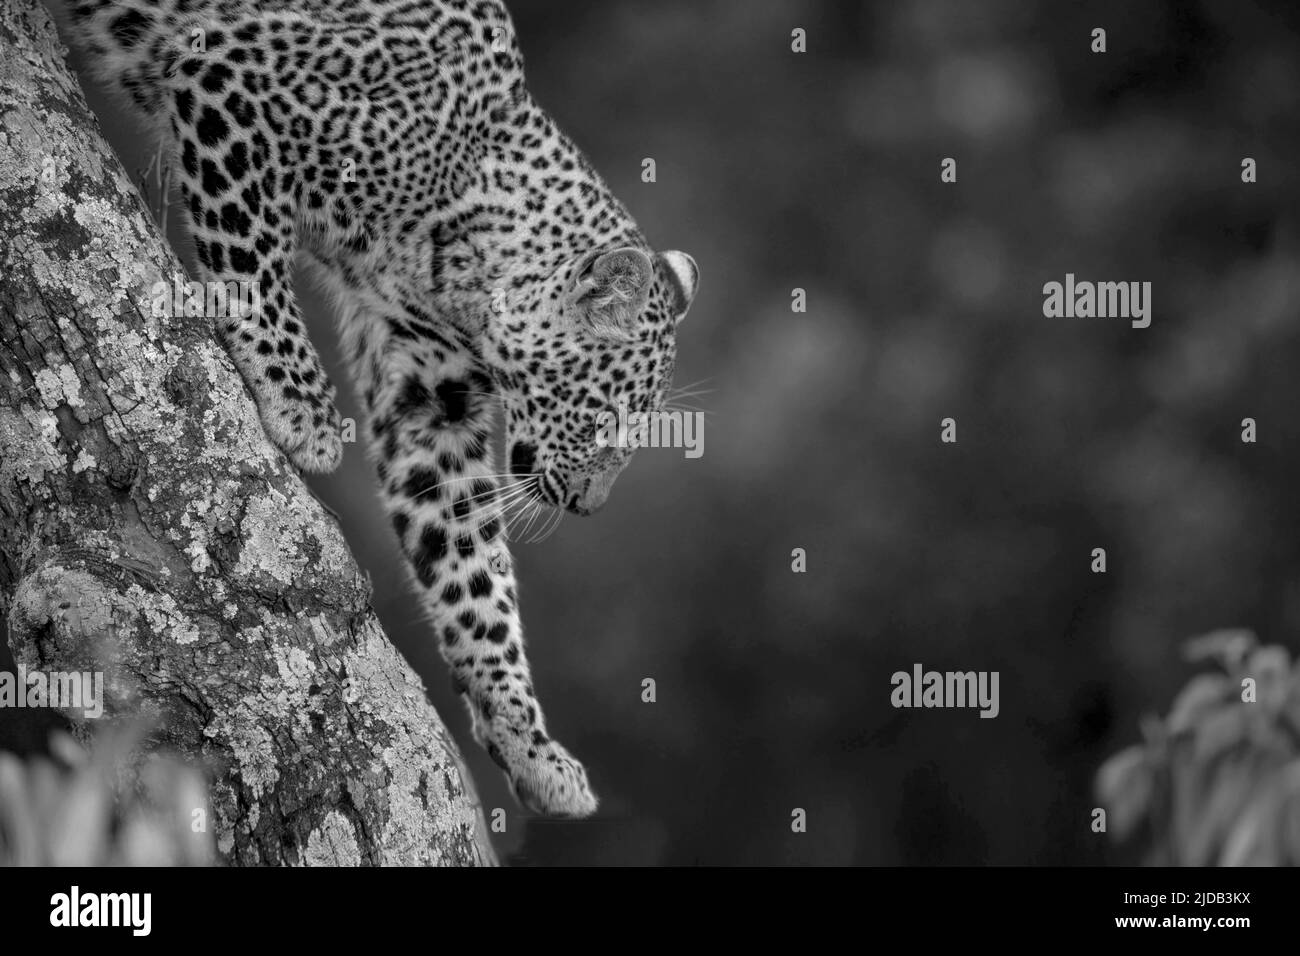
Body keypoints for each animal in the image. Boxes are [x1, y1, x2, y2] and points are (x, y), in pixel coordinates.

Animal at [63, 0, 700, 818]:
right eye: (606, 414)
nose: (590, 507)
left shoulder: (433, 398)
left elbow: (470, 570)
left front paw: (528, 744)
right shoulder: (230, 83)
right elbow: (251, 253)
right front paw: (301, 405)